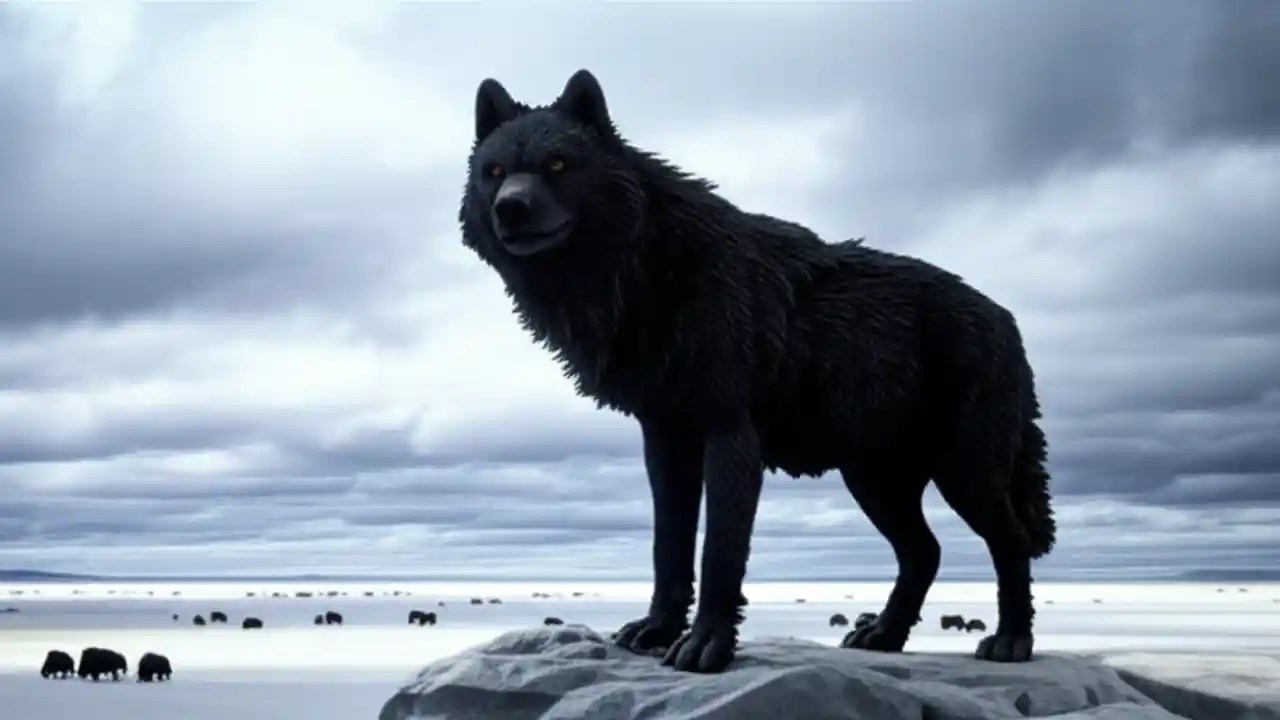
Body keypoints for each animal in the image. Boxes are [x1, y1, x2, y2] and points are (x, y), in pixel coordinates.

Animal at [459, 69, 1055, 674]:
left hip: (964, 471)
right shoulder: (665, 437)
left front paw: (705, 646)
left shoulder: (730, 433)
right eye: (495, 173)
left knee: (1008, 542)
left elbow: (720, 552)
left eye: (558, 164)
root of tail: (1007, 319)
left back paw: (1010, 642)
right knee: (924, 552)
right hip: (873, 479)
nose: (509, 208)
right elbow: (668, 548)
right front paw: (656, 630)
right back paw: (883, 635)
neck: (652, 268)